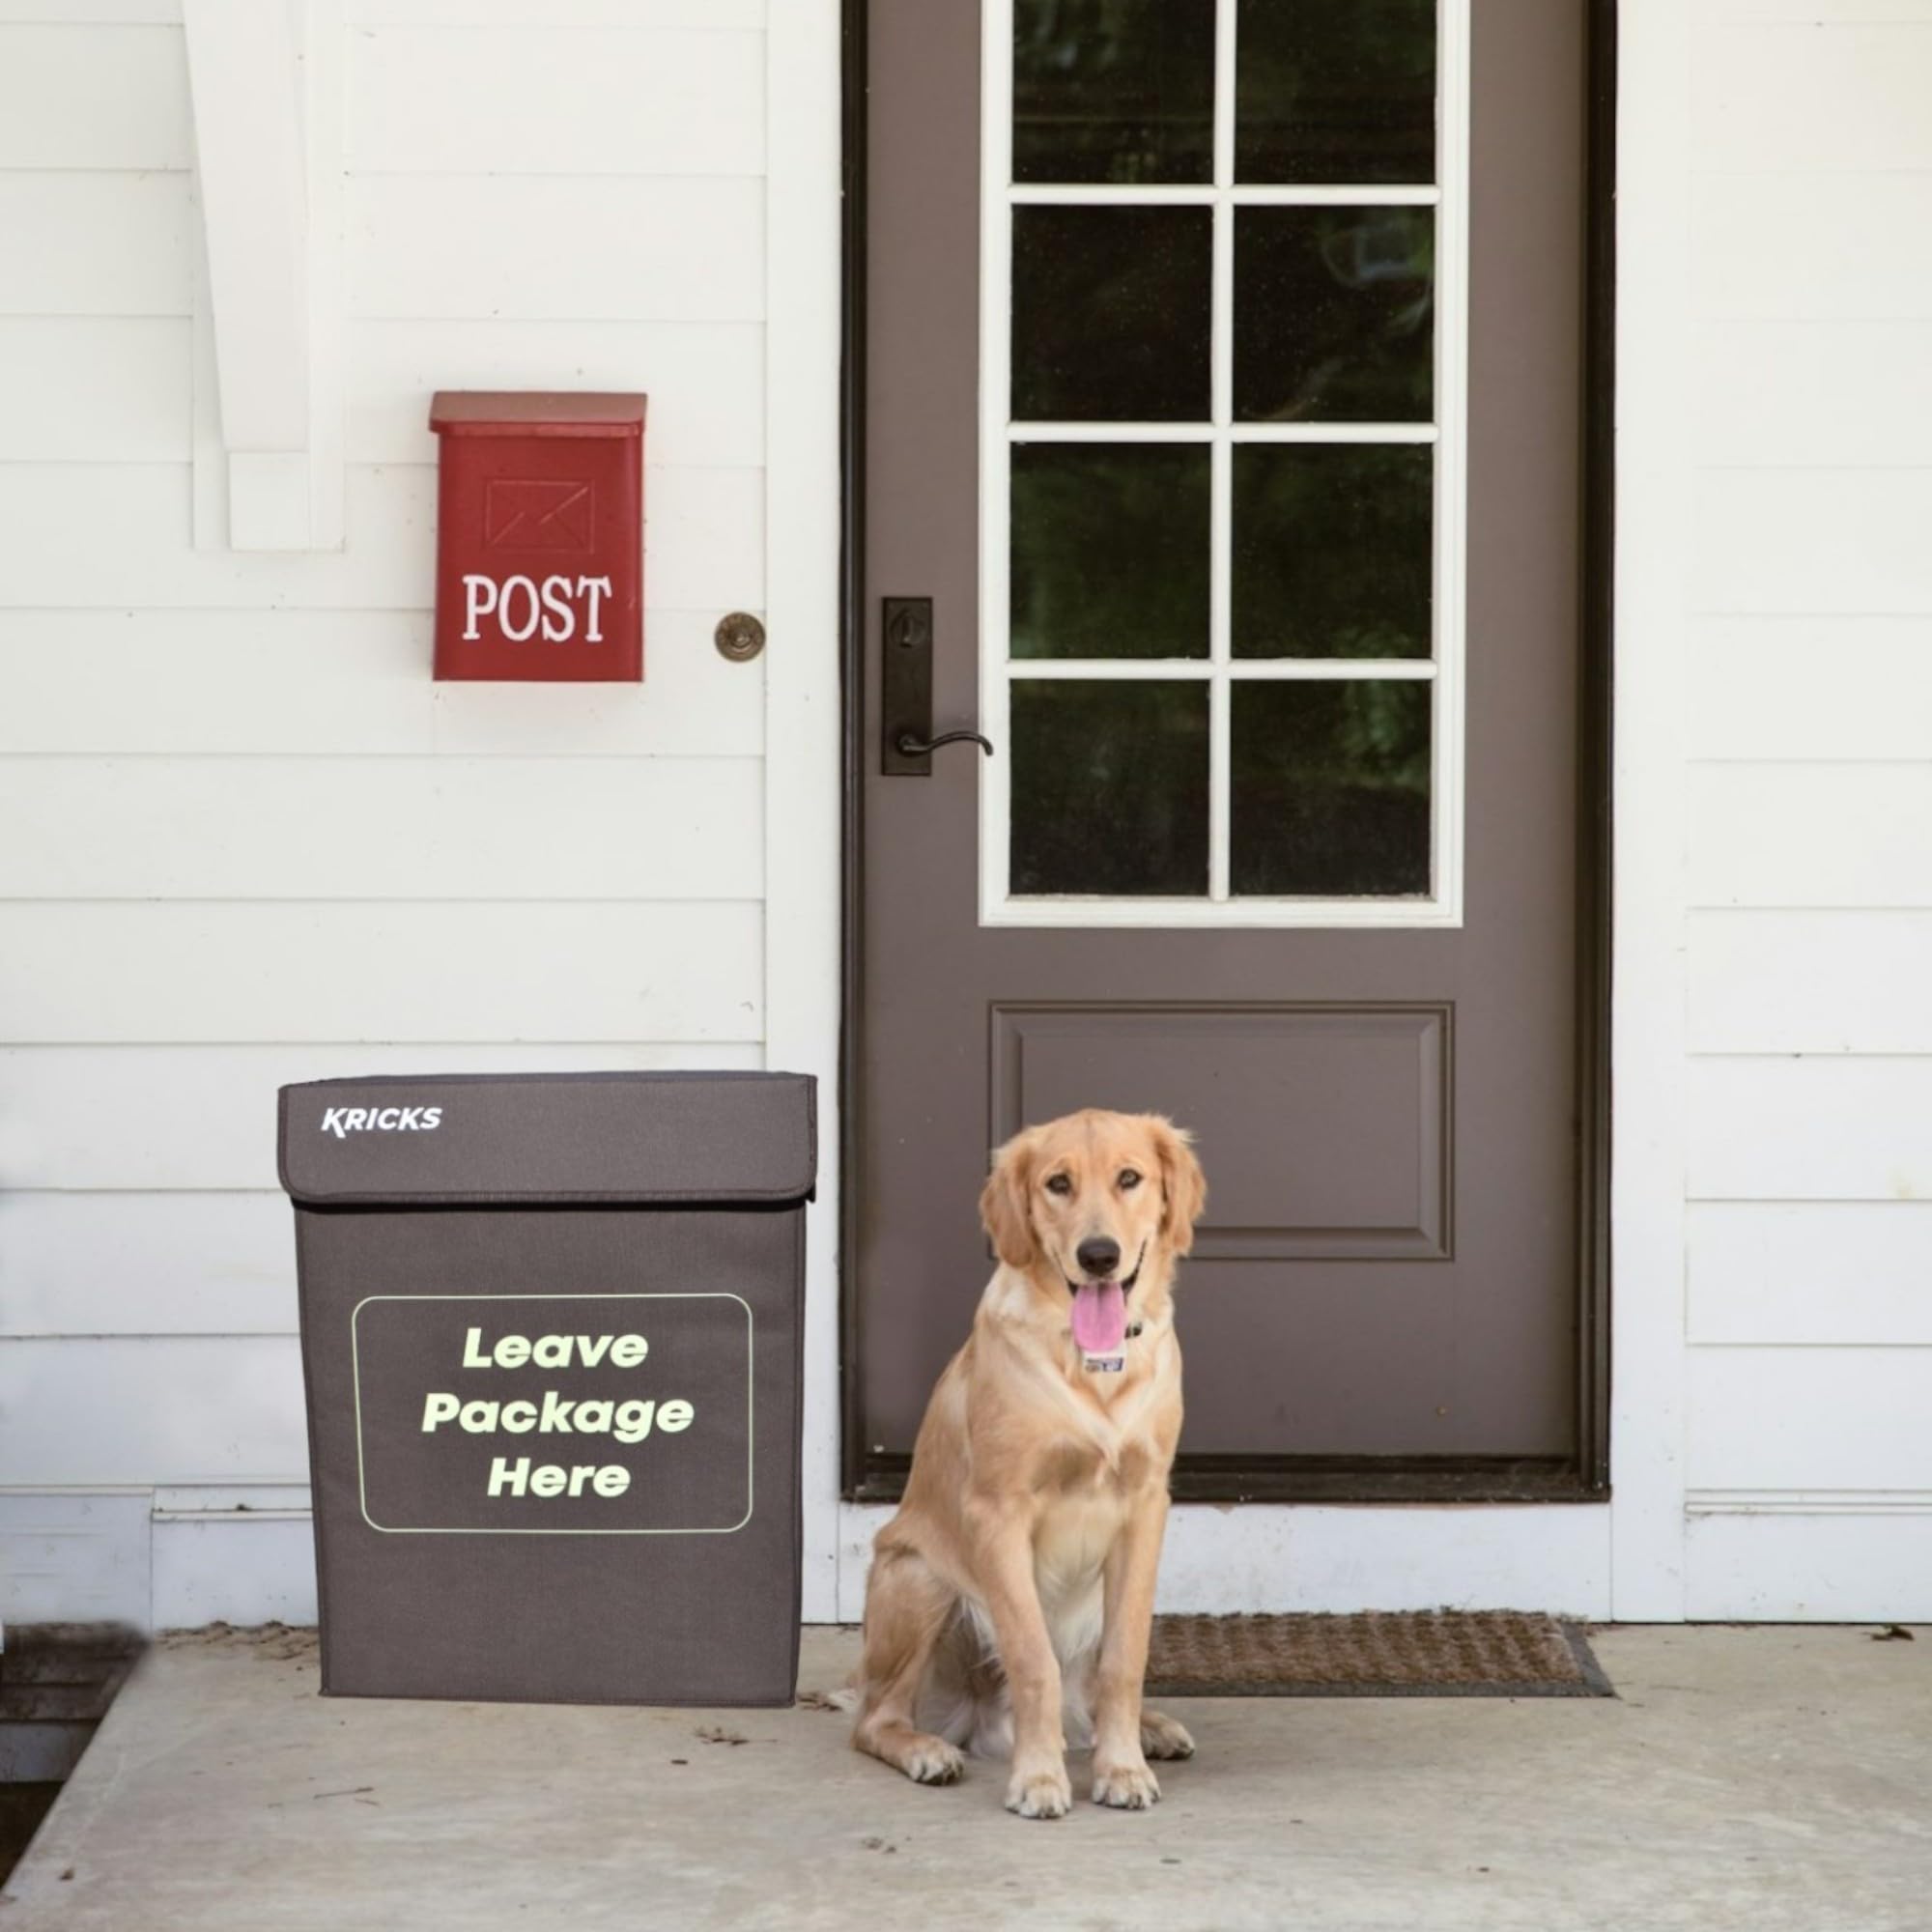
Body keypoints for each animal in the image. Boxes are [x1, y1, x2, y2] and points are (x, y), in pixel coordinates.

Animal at [850, 1113, 1198, 1816]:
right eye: (1057, 1183)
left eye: (1130, 1177)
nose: (1099, 1255)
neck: (1092, 1364)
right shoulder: (999, 1512)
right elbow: (1034, 1658)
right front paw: (1037, 1779)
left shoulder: (1146, 1505)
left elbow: (1126, 1658)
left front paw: (1123, 1769)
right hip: (919, 1577)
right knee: (876, 1717)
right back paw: (927, 1750)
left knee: (1089, 1694)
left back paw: (1148, 1730)